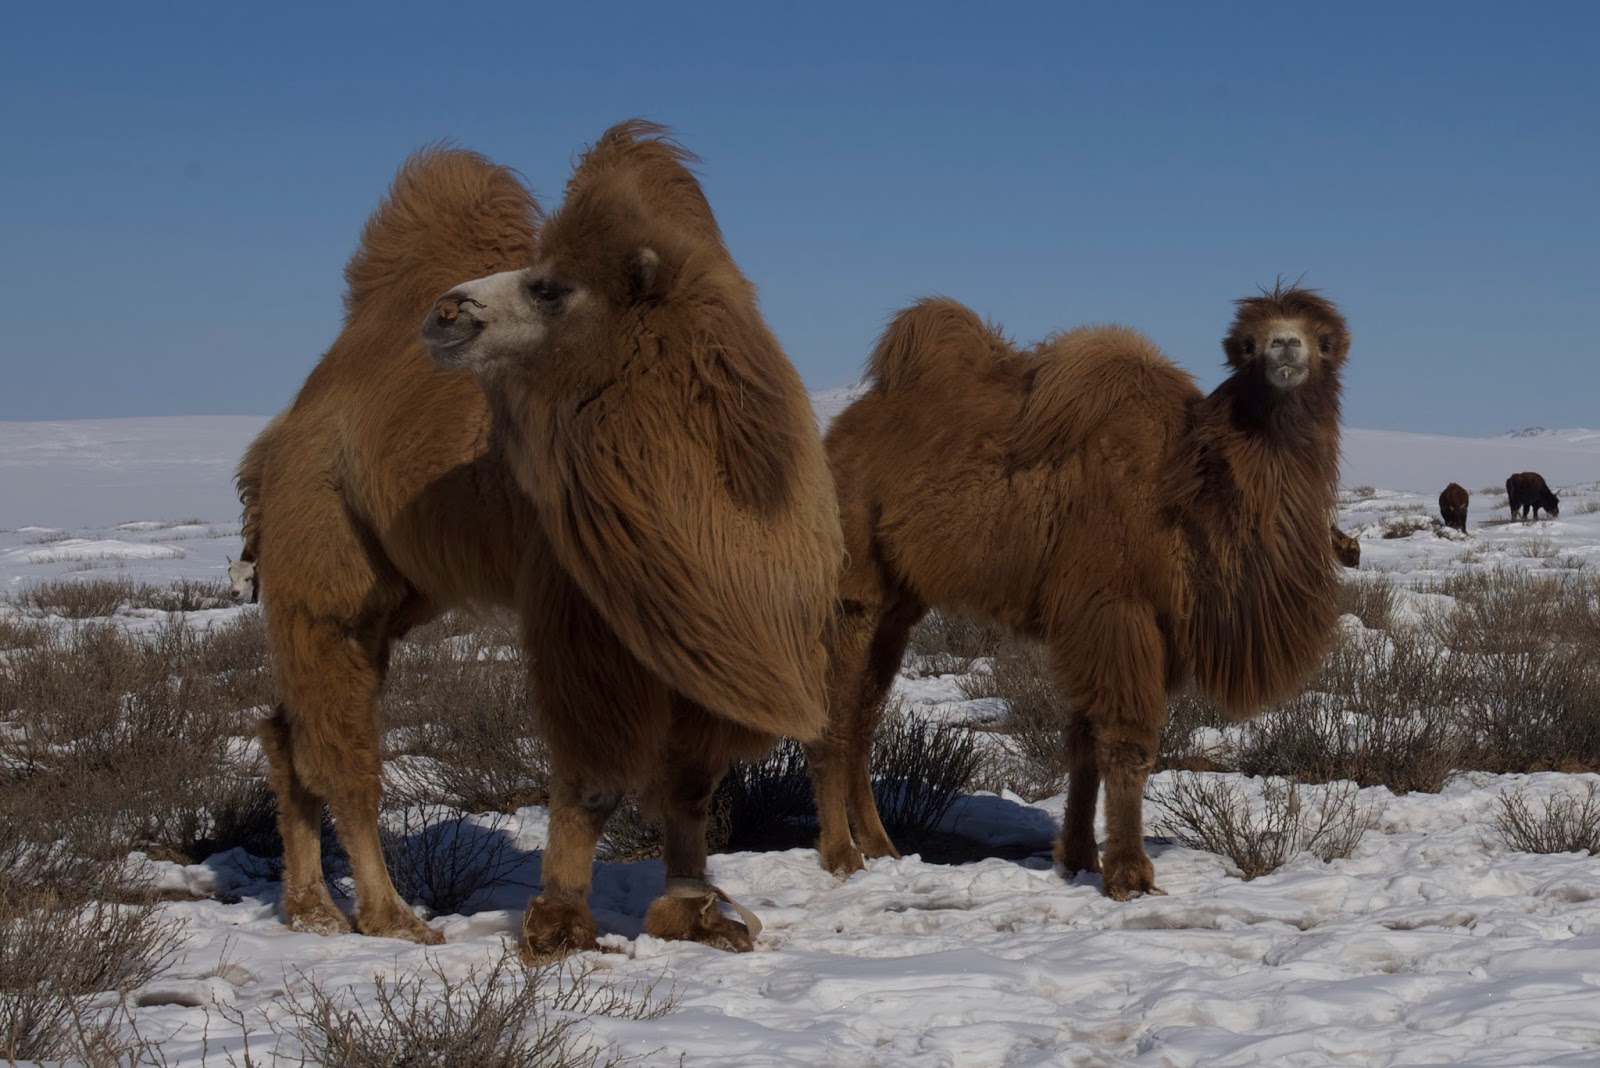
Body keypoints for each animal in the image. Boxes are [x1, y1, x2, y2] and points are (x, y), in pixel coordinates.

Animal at [420, 121, 841, 958]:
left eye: (550, 287)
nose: (446, 311)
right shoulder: (592, 642)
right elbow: (589, 782)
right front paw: (557, 922)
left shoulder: (712, 684)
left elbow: (690, 787)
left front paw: (696, 909)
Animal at [808, 284, 1349, 899]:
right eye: (1247, 344)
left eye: (1324, 339)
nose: (1285, 346)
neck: (1191, 491)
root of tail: (838, 436)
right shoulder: (1115, 609)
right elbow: (1126, 741)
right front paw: (1129, 874)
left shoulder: (1129, 627)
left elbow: (1083, 742)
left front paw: (1078, 858)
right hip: (852, 582)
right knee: (834, 712)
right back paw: (840, 855)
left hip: (898, 605)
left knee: (863, 714)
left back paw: (881, 846)